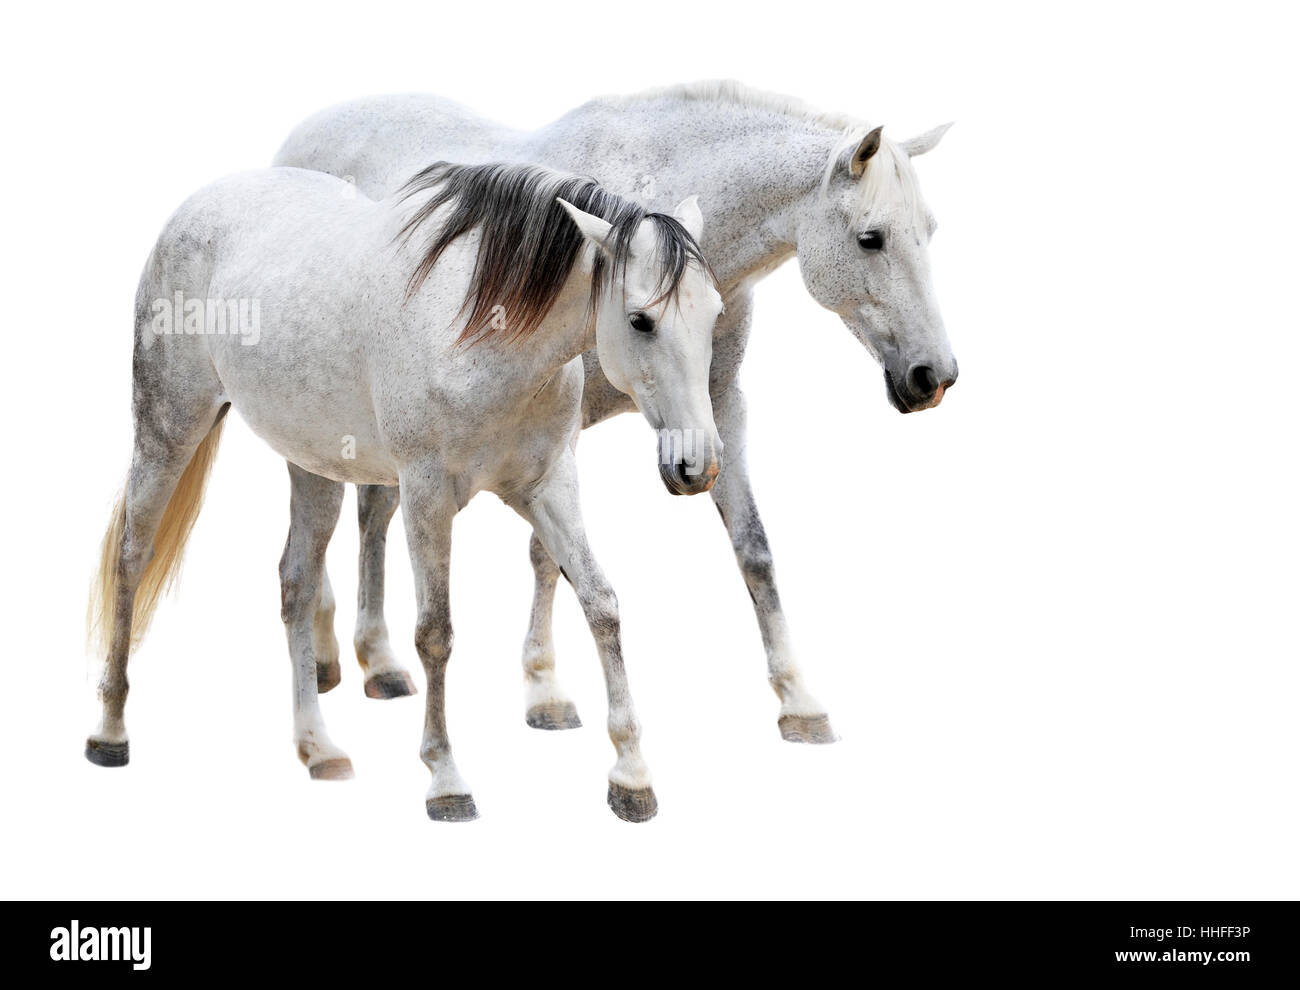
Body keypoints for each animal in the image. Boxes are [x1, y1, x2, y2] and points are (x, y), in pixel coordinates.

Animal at [86, 161, 723, 822]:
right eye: (641, 320)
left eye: (715, 315)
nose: (695, 466)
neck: (483, 334)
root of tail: (193, 208)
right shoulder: (427, 497)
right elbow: (435, 634)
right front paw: (446, 780)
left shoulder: (548, 486)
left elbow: (601, 603)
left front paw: (632, 778)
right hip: (167, 432)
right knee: (132, 557)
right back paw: (110, 731)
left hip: (313, 466)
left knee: (296, 583)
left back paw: (318, 748)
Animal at [275, 81, 957, 743]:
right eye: (871, 238)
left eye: (930, 231)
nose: (935, 377)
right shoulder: (555, 436)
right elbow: (547, 557)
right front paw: (545, 691)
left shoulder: (719, 406)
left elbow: (754, 549)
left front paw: (798, 701)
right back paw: (349, 659)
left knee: (367, 510)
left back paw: (361, 658)